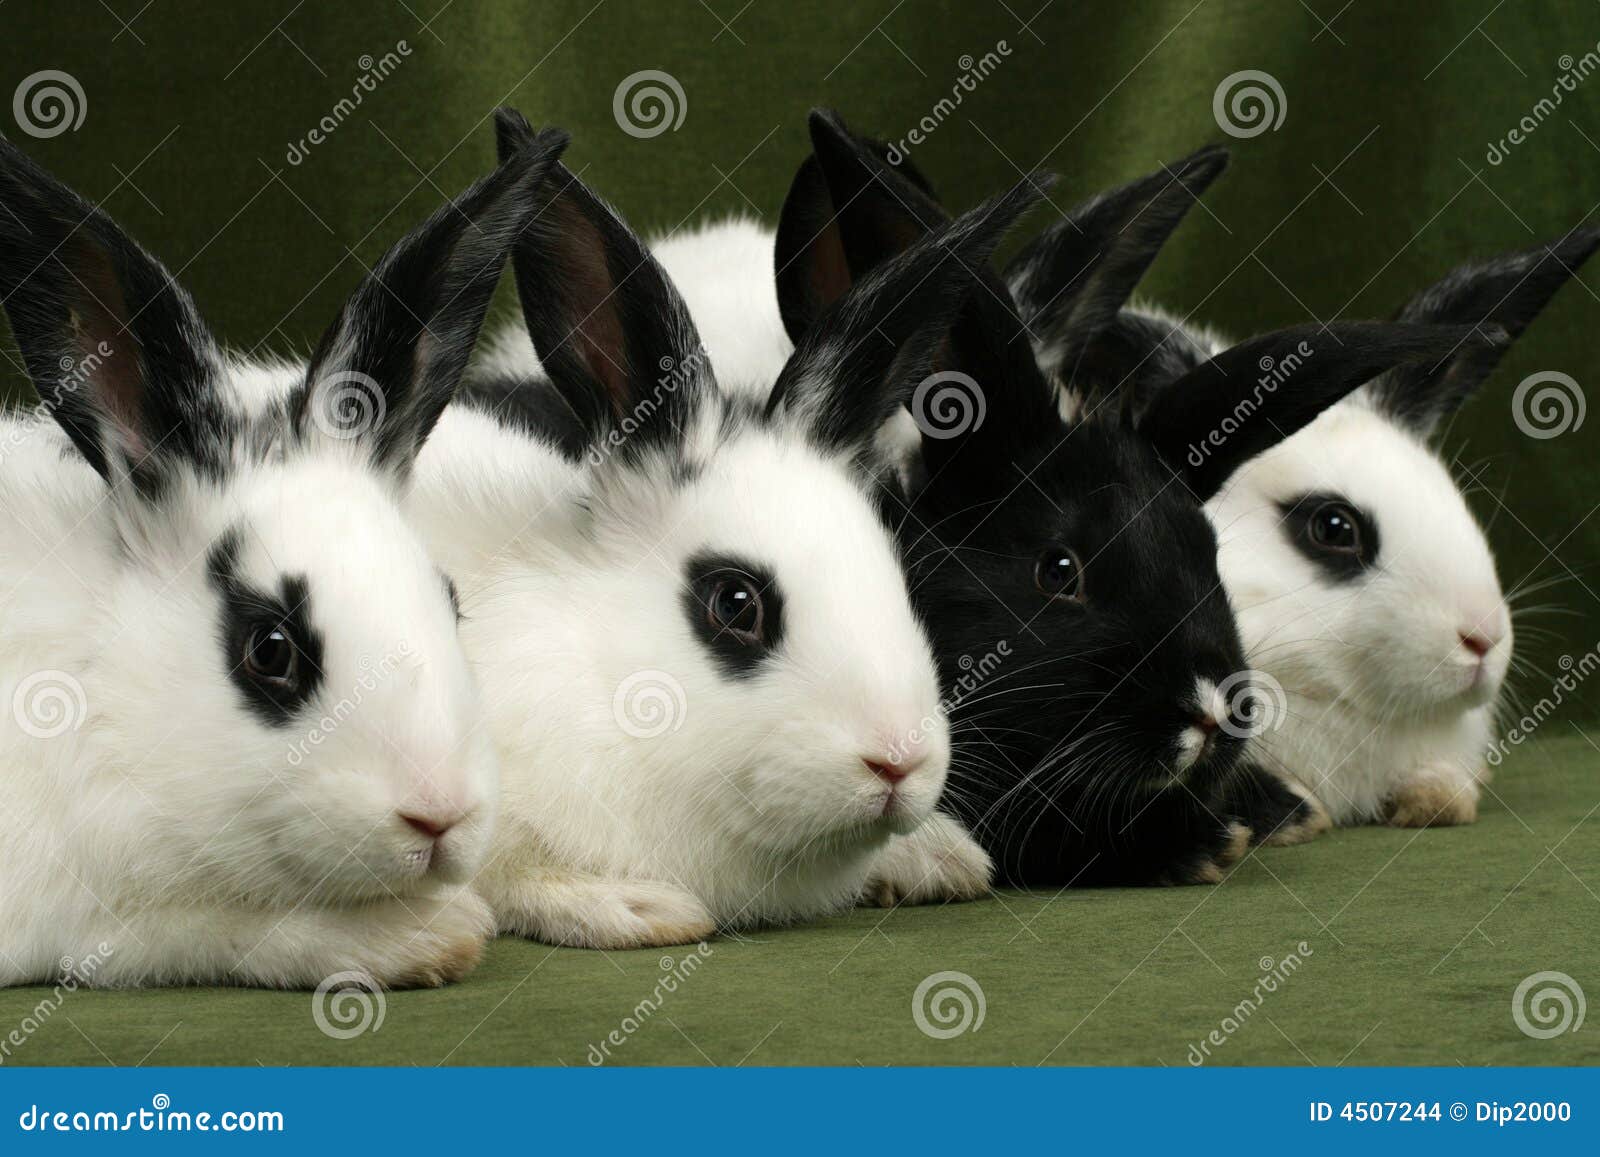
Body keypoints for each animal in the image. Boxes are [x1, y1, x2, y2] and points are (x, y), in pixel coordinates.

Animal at [0, 129, 569, 988]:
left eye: (451, 602)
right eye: (270, 650)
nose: (440, 813)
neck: (100, 688)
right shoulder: (113, 921)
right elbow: (257, 930)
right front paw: (433, 935)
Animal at [403, 110, 1049, 949]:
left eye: (894, 573)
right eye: (735, 603)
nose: (899, 761)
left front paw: (941, 859)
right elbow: (512, 874)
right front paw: (633, 908)